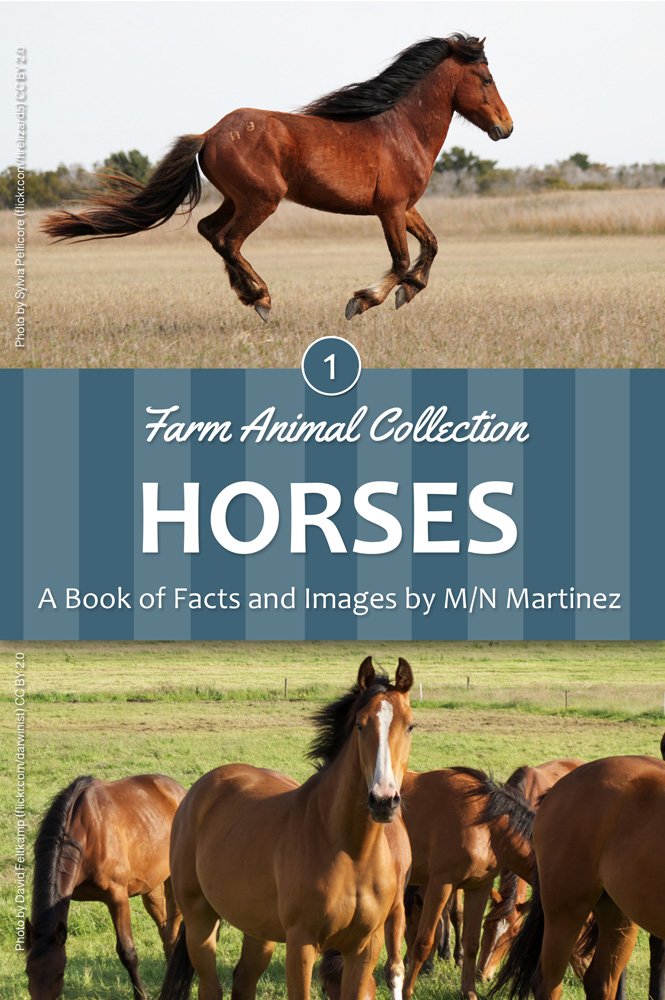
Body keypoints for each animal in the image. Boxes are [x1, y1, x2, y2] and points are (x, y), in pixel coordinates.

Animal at [26, 774, 186, 1000]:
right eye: (28, 971)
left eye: (60, 973)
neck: (85, 832)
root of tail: (178, 789)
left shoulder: (117, 897)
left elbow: (128, 952)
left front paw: (141, 995)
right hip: (151, 888)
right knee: (165, 930)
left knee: (173, 930)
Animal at [41, 34, 512, 322]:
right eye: (487, 79)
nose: (506, 127)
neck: (400, 130)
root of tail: (210, 133)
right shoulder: (391, 209)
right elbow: (399, 259)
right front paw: (363, 301)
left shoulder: (406, 208)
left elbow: (431, 245)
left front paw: (409, 291)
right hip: (261, 200)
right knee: (228, 239)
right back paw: (261, 298)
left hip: (238, 198)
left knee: (209, 230)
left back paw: (248, 292)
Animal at [159, 657, 414, 1000]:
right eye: (361, 725)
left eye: (410, 725)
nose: (383, 800)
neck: (351, 850)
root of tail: (198, 792)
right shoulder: (301, 944)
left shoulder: (364, 947)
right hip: (201, 919)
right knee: (210, 986)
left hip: (258, 930)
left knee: (244, 981)